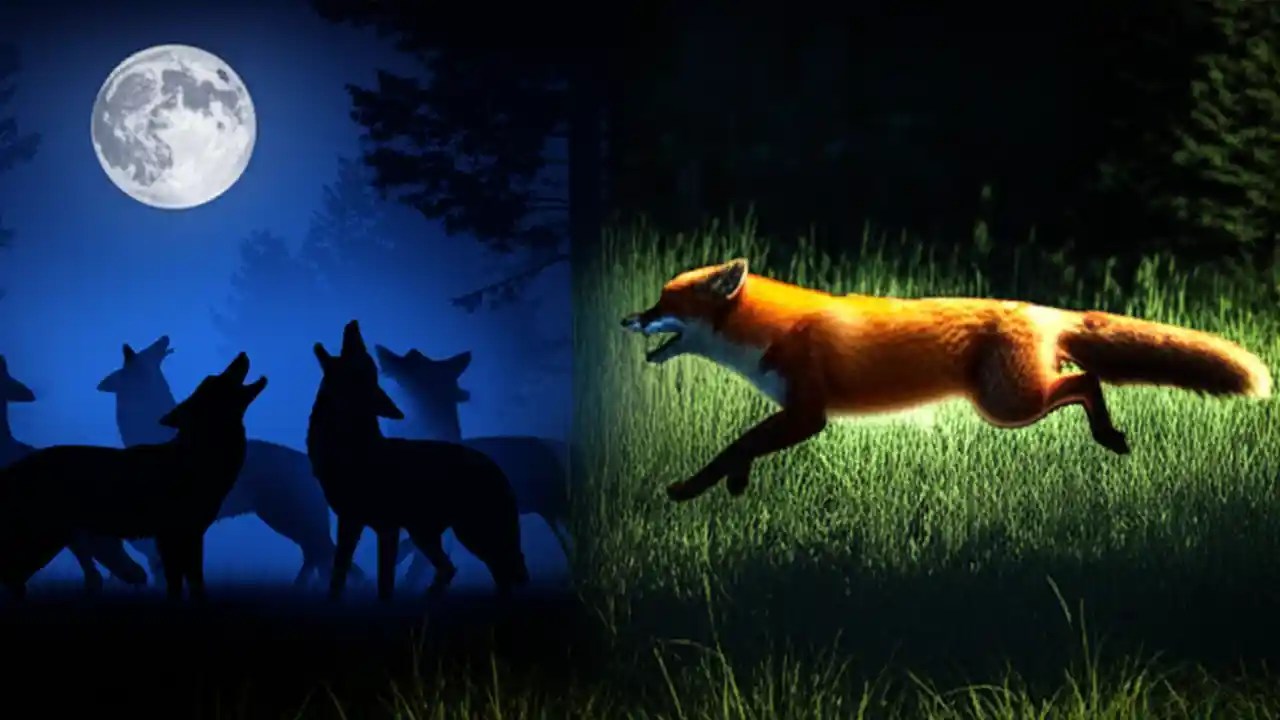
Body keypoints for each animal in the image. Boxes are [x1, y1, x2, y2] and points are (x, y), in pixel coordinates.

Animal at [0, 353, 266, 600]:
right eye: (215, 379)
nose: (242, 354)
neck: (198, 459)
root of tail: (12, 468)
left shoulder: (187, 535)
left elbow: (189, 586)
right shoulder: (173, 535)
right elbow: (182, 586)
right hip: (47, 539)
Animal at [308, 321, 529, 602]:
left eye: (364, 357)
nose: (354, 323)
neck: (350, 448)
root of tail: (496, 467)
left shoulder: (387, 528)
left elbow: (385, 586)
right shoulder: (350, 523)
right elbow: (337, 578)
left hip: (470, 535)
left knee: (499, 572)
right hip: (426, 534)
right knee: (454, 569)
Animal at [622, 258, 1273, 503]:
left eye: (663, 304)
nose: (628, 319)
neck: (772, 332)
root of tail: (1043, 310)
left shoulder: (808, 414)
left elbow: (735, 445)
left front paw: (688, 490)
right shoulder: (795, 415)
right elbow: (743, 448)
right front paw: (733, 485)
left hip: (1006, 404)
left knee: (1086, 380)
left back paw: (1108, 437)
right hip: (1011, 401)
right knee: (1084, 378)